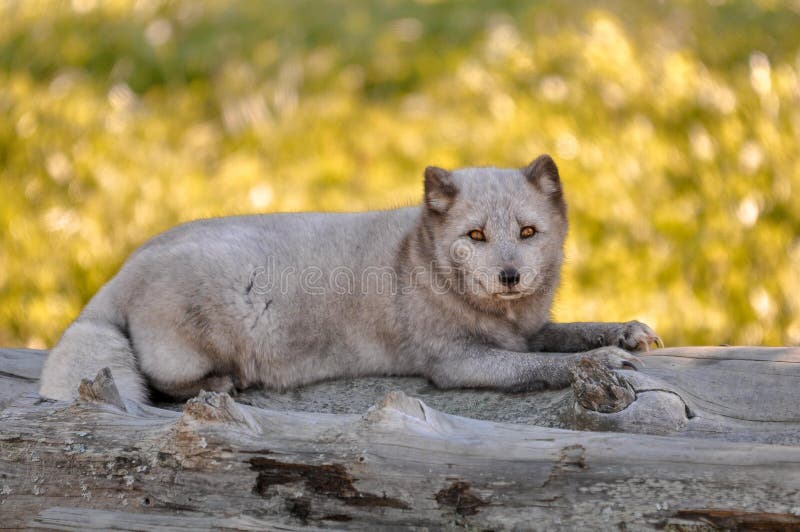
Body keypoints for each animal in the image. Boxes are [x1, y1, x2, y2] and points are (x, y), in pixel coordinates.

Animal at [39, 154, 660, 404]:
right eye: (477, 235)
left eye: (528, 232)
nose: (509, 276)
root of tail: (126, 267)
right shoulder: (457, 362)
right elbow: (543, 365)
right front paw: (599, 361)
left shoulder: (528, 330)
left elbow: (568, 332)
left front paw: (624, 332)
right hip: (201, 336)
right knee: (163, 380)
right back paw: (219, 385)